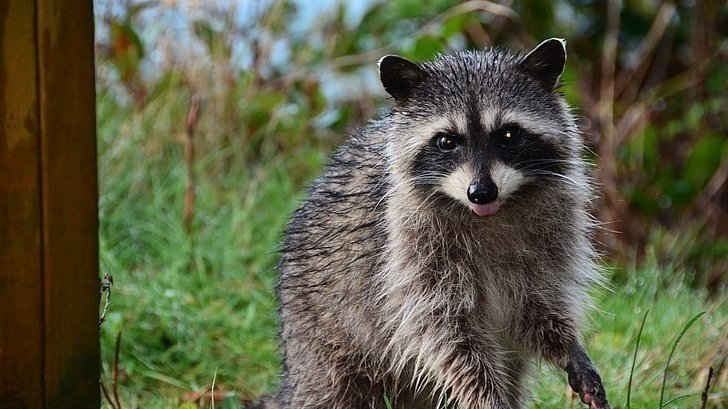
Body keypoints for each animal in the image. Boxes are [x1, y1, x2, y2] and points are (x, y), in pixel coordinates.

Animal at [256, 39, 610, 409]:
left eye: (509, 134)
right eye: (446, 141)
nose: (481, 193)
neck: (489, 214)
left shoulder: (553, 236)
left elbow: (538, 307)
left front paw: (569, 347)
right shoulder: (410, 253)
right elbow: (446, 334)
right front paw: (485, 394)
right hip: (322, 338)